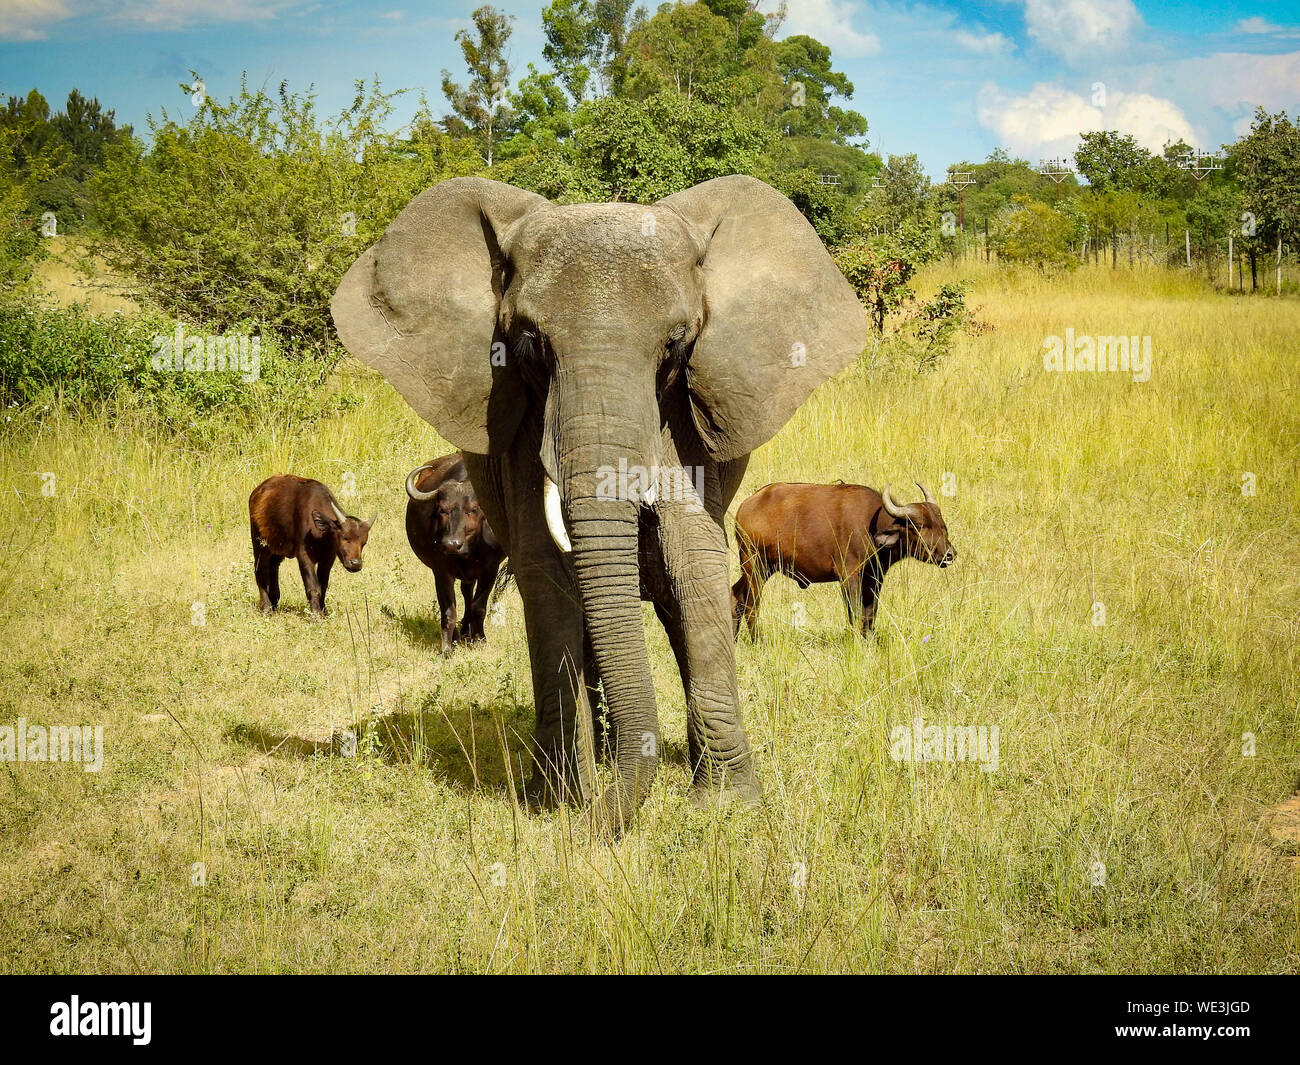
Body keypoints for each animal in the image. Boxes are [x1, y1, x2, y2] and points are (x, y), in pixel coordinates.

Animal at [331, 175, 864, 835]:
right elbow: (546, 572)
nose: (601, 813)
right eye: (530, 344)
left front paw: (726, 809)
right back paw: (604, 756)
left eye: (676, 344)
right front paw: (553, 803)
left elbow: (693, 560)